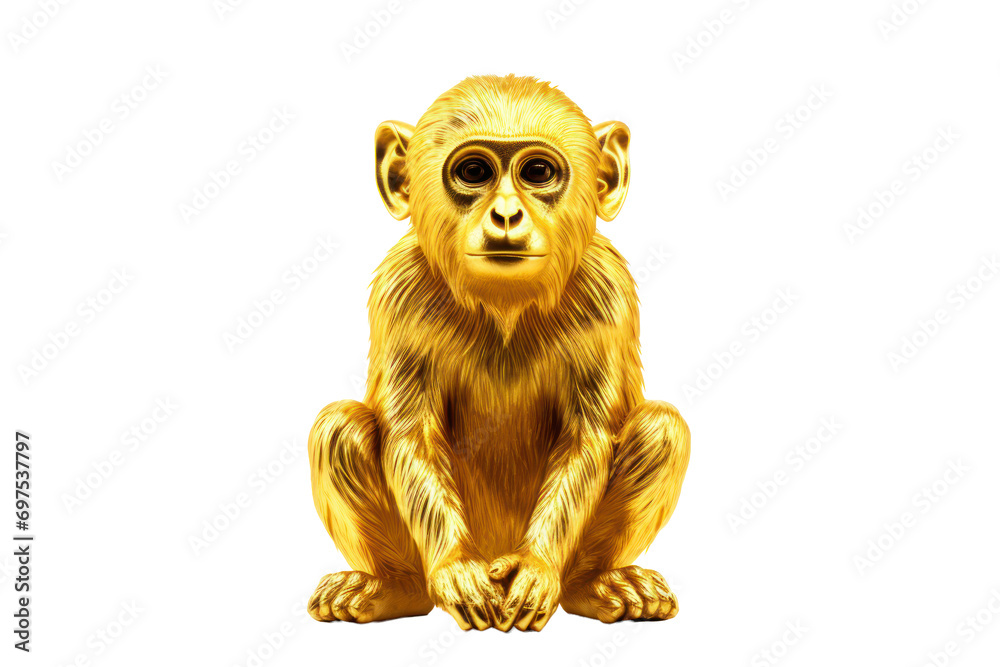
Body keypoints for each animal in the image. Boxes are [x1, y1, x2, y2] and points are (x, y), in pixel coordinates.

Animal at [307, 75, 690, 632]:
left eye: (537, 172)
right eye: (474, 172)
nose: (506, 214)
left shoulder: (608, 289)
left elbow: (588, 437)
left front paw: (535, 567)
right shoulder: (401, 289)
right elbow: (410, 435)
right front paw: (456, 566)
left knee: (662, 428)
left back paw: (597, 584)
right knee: (339, 429)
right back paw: (391, 588)